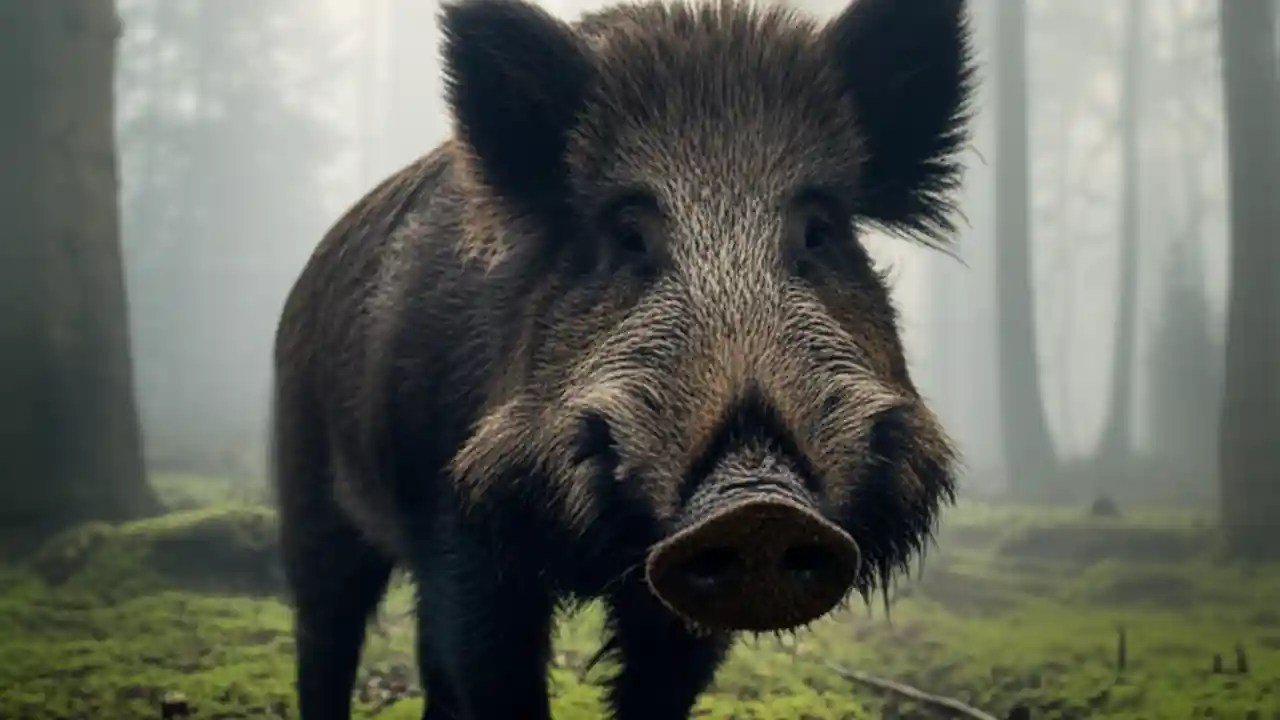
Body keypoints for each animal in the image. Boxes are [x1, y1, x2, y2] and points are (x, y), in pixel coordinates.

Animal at [271, 0, 973, 718]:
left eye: (818, 233)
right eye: (629, 236)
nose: (759, 508)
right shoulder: (459, 530)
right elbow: (492, 671)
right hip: (308, 486)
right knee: (326, 630)